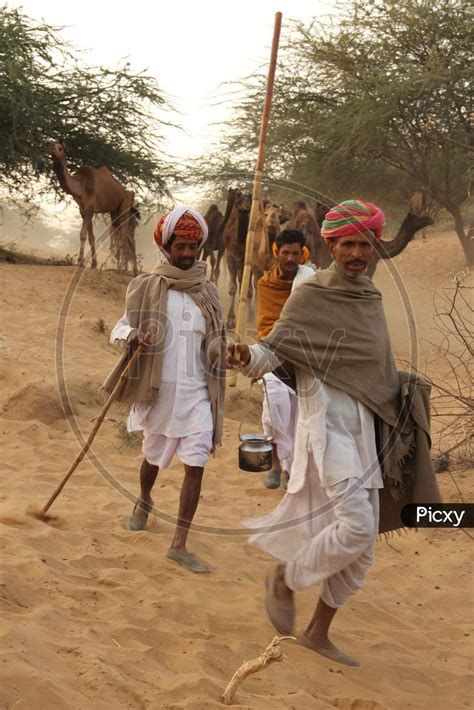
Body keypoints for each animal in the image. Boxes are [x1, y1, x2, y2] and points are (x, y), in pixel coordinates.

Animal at [49, 141, 137, 274]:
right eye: (50, 144)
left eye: (60, 148)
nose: (52, 151)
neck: (80, 186)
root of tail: (128, 194)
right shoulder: (83, 209)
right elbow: (91, 237)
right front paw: (93, 264)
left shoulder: (89, 208)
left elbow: (83, 235)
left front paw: (80, 262)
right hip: (114, 212)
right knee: (127, 237)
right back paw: (132, 272)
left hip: (124, 206)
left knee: (124, 236)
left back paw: (120, 270)